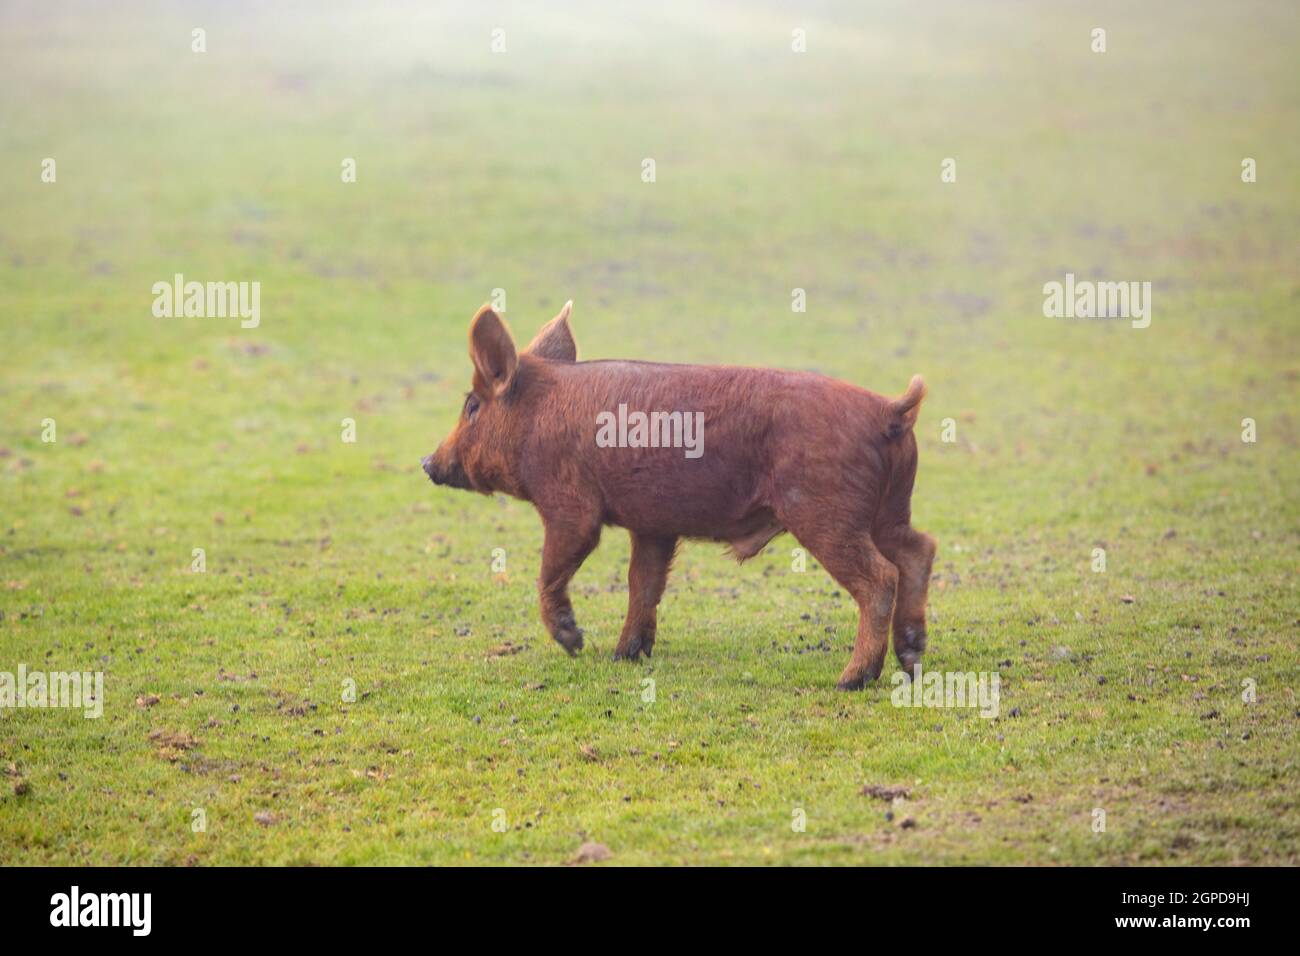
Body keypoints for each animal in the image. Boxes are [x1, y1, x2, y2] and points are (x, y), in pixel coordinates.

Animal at [423, 302, 937, 690]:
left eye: (472, 406)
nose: (428, 463)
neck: (535, 418)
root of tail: (889, 410)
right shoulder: (653, 526)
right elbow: (643, 584)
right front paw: (624, 655)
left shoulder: (570, 506)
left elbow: (553, 569)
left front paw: (576, 644)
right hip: (890, 511)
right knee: (920, 549)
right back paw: (910, 659)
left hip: (824, 511)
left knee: (881, 577)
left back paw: (851, 680)